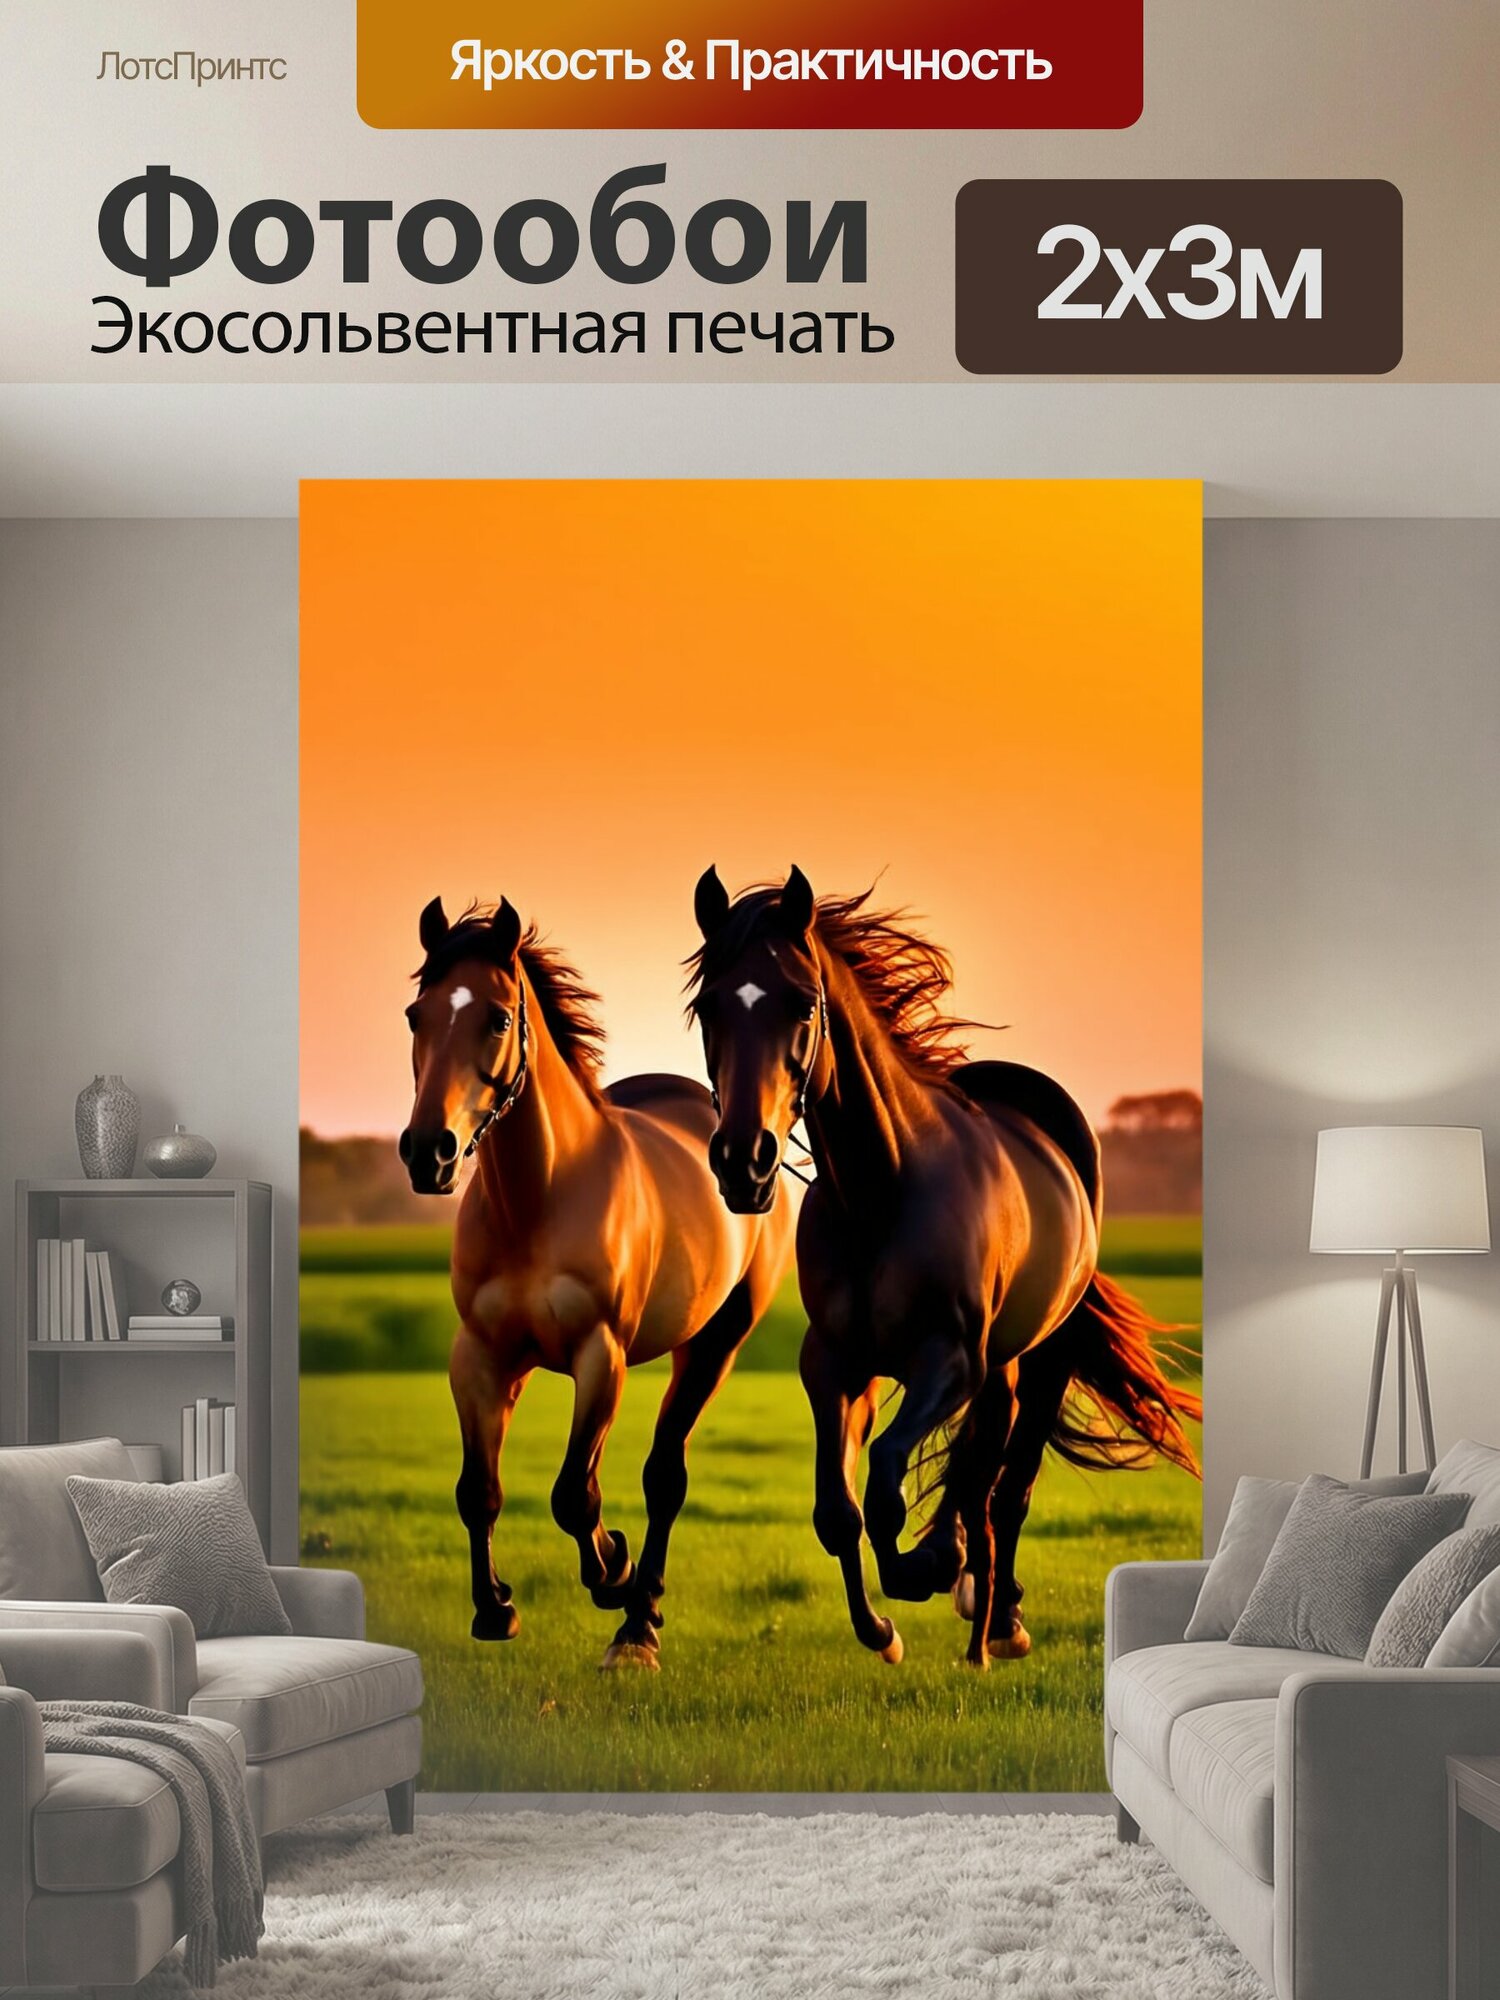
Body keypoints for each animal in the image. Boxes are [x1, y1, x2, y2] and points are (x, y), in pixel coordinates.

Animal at [399, 894, 795, 1669]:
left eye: (498, 1018)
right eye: (414, 1015)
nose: (429, 1151)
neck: (542, 1198)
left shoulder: (596, 1353)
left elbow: (571, 1497)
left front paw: (612, 1568)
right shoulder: (481, 1356)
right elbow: (479, 1490)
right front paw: (496, 1610)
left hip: (713, 1345)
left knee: (664, 1477)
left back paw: (637, 1624)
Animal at [687, 864, 1201, 1670]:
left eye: (801, 1004)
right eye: (708, 1005)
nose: (746, 1162)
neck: (882, 1193)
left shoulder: (950, 1361)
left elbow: (889, 1482)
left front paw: (925, 1569)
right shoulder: (835, 1364)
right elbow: (838, 1510)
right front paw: (881, 1630)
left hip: (1041, 1357)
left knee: (1006, 1487)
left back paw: (994, 1624)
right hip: (1000, 1369)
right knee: (982, 1472)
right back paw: (979, 1605)